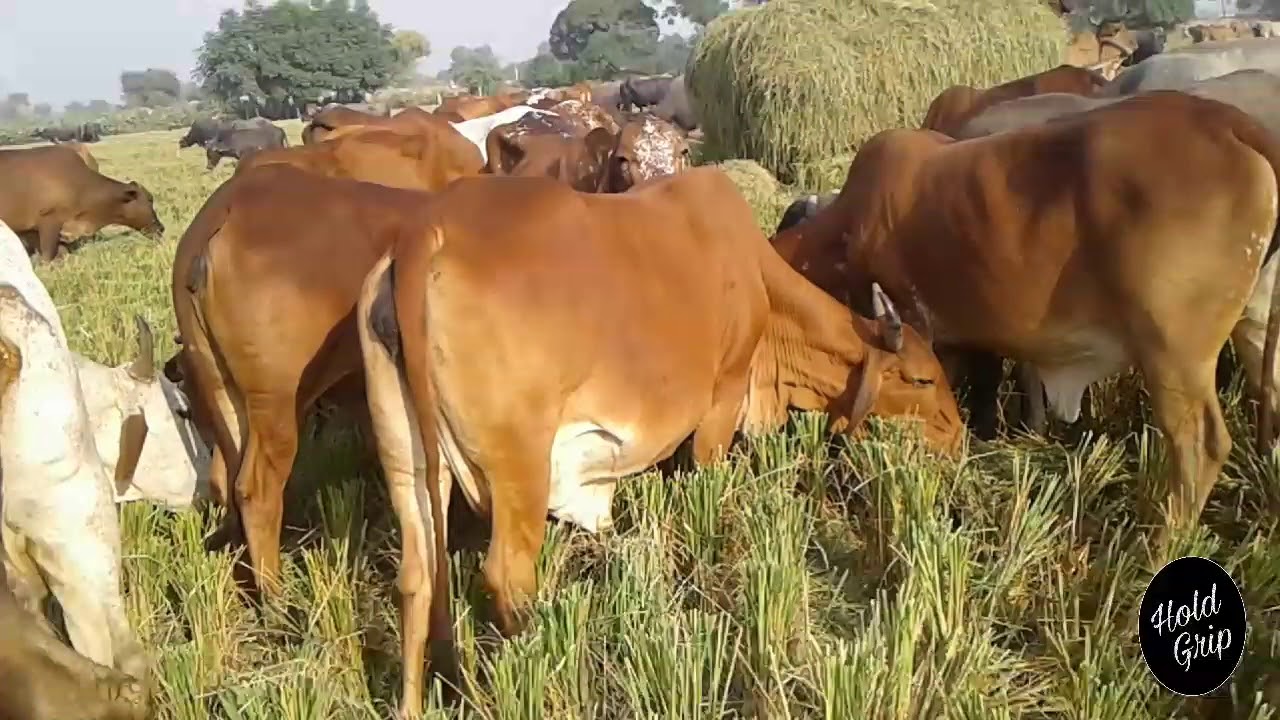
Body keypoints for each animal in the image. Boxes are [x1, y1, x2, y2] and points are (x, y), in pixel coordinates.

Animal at [352, 168, 963, 716]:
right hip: (520, 467)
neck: (760, 284)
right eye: (921, 378)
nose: (957, 437)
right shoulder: (723, 398)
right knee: (509, 578)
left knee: (418, 579)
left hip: (410, 462)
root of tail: (428, 231)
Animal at [772, 91, 1280, 550]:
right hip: (1252, 325)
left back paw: (1157, 545)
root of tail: (1229, 123)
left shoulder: (914, 320)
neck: (846, 228)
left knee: (1199, 444)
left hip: (1172, 352)